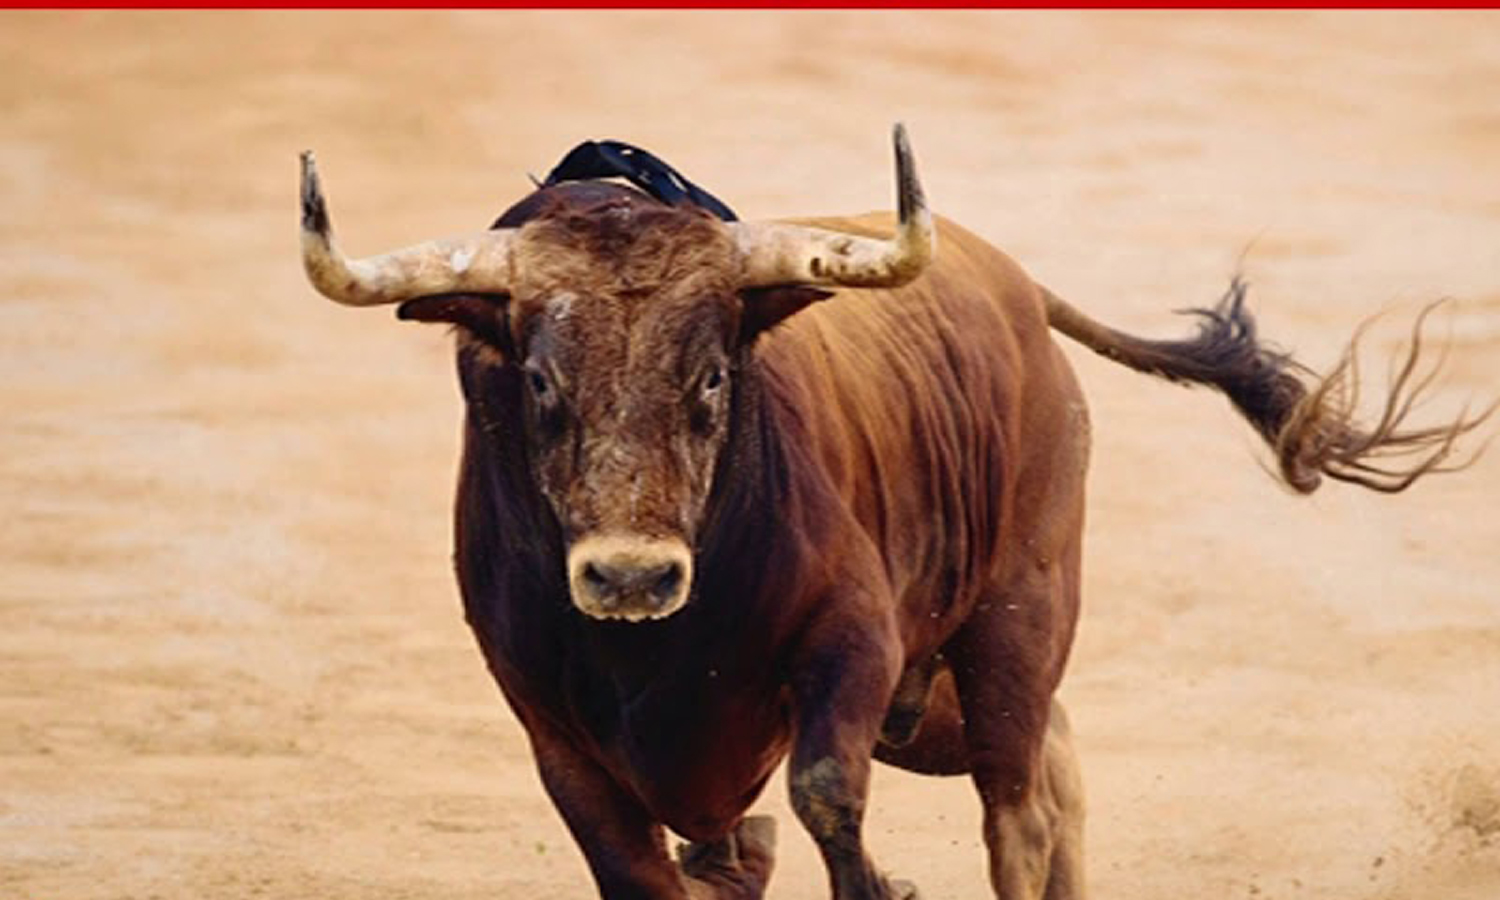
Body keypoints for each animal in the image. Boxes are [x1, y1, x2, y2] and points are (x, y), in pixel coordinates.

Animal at [298, 126, 1487, 900]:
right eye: (540, 383)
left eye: (714, 376)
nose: (631, 578)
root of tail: (1018, 290)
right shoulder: (553, 729)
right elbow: (662, 868)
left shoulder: (852, 643)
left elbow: (827, 799)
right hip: (936, 701)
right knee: (1056, 760)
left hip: (1016, 619)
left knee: (1021, 808)